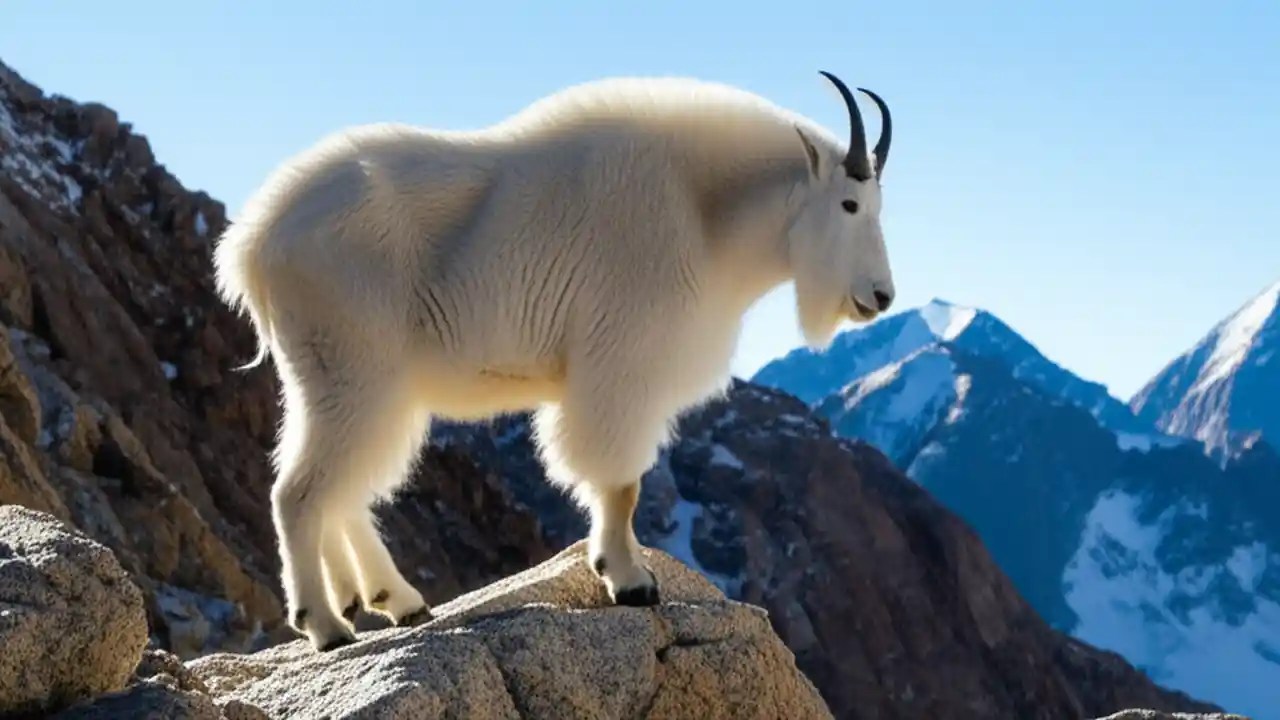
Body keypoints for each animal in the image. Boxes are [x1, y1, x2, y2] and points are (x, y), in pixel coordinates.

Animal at [213, 71, 897, 651]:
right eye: (849, 205)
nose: (881, 297)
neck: (702, 213)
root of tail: (250, 246)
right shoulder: (619, 368)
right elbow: (620, 480)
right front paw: (630, 580)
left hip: (359, 385)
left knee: (340, 489)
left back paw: (394, 600)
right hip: (352, 371)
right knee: (300, 492)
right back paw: (327, 625)